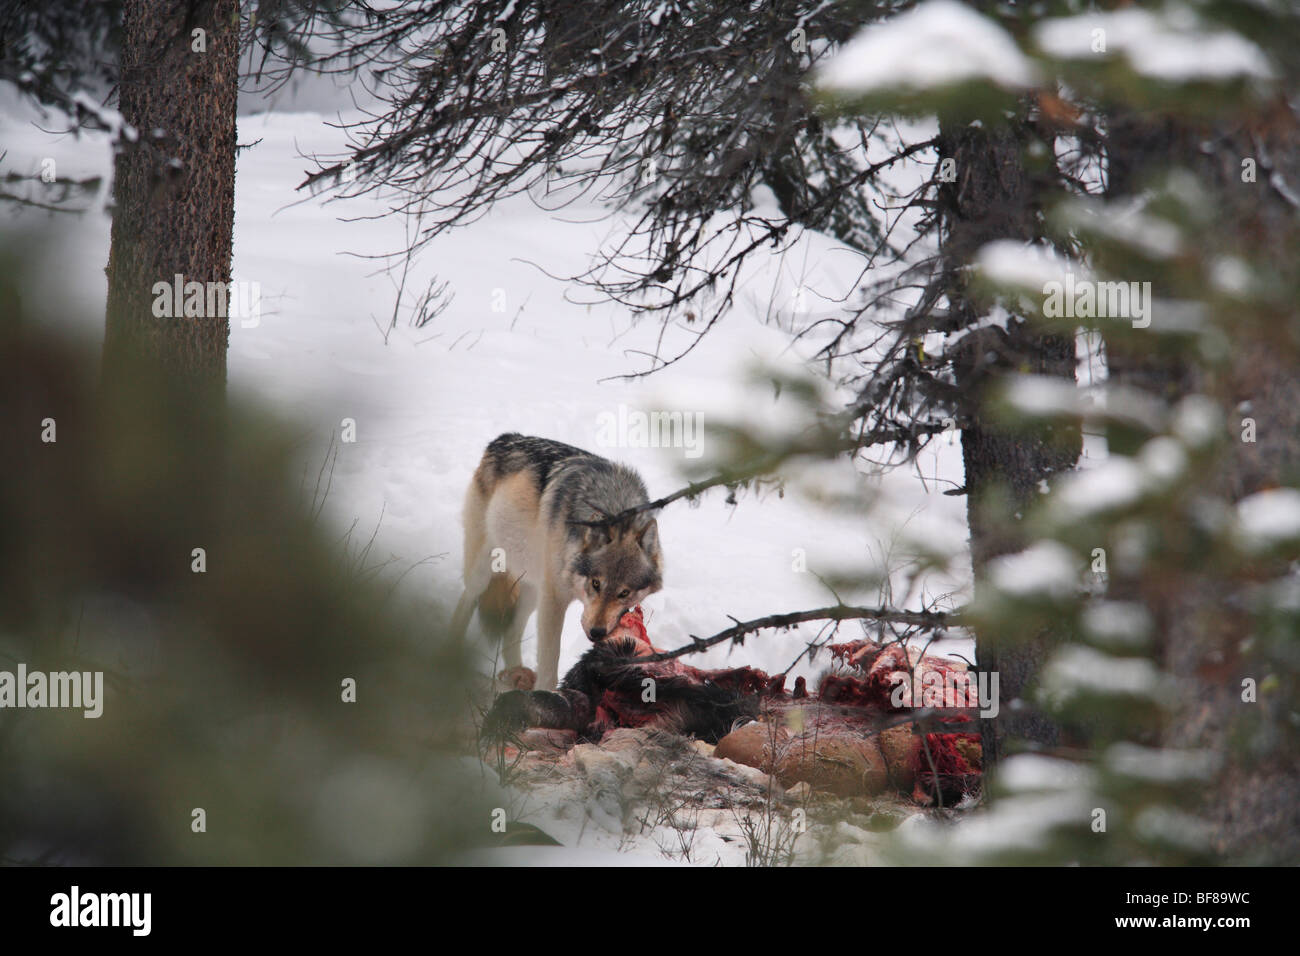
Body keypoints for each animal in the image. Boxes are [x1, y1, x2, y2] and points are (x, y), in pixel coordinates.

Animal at [450, 433, 664, 691]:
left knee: (511, 632)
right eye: (595, 584)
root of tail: (504, 438)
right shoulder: (553, 600)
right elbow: (550, 665)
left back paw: (515, 675)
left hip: (532, 590)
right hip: (486, 571)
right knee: (466, 602)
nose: (596, 633)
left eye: (624, 593)